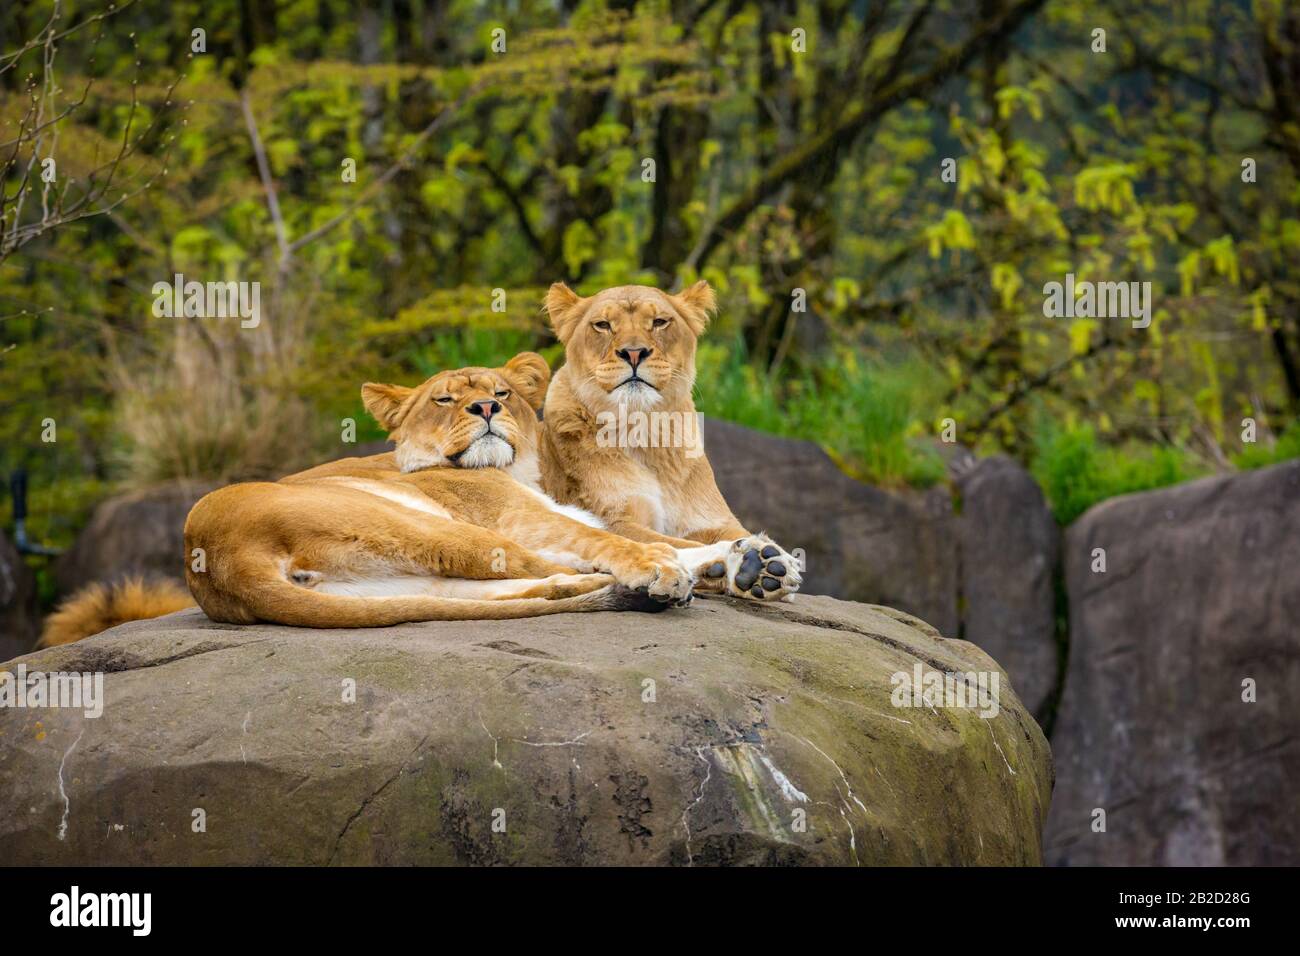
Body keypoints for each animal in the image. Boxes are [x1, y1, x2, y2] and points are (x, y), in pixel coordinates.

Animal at [537, 281, 801, 602]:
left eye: (660, 321)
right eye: (602, 325)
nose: (634, 353)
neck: (647, 433)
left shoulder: (714, 521)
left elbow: (734, 534)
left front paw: (769, 562)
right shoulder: (612, 519)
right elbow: (671, 544)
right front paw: (750, 564)